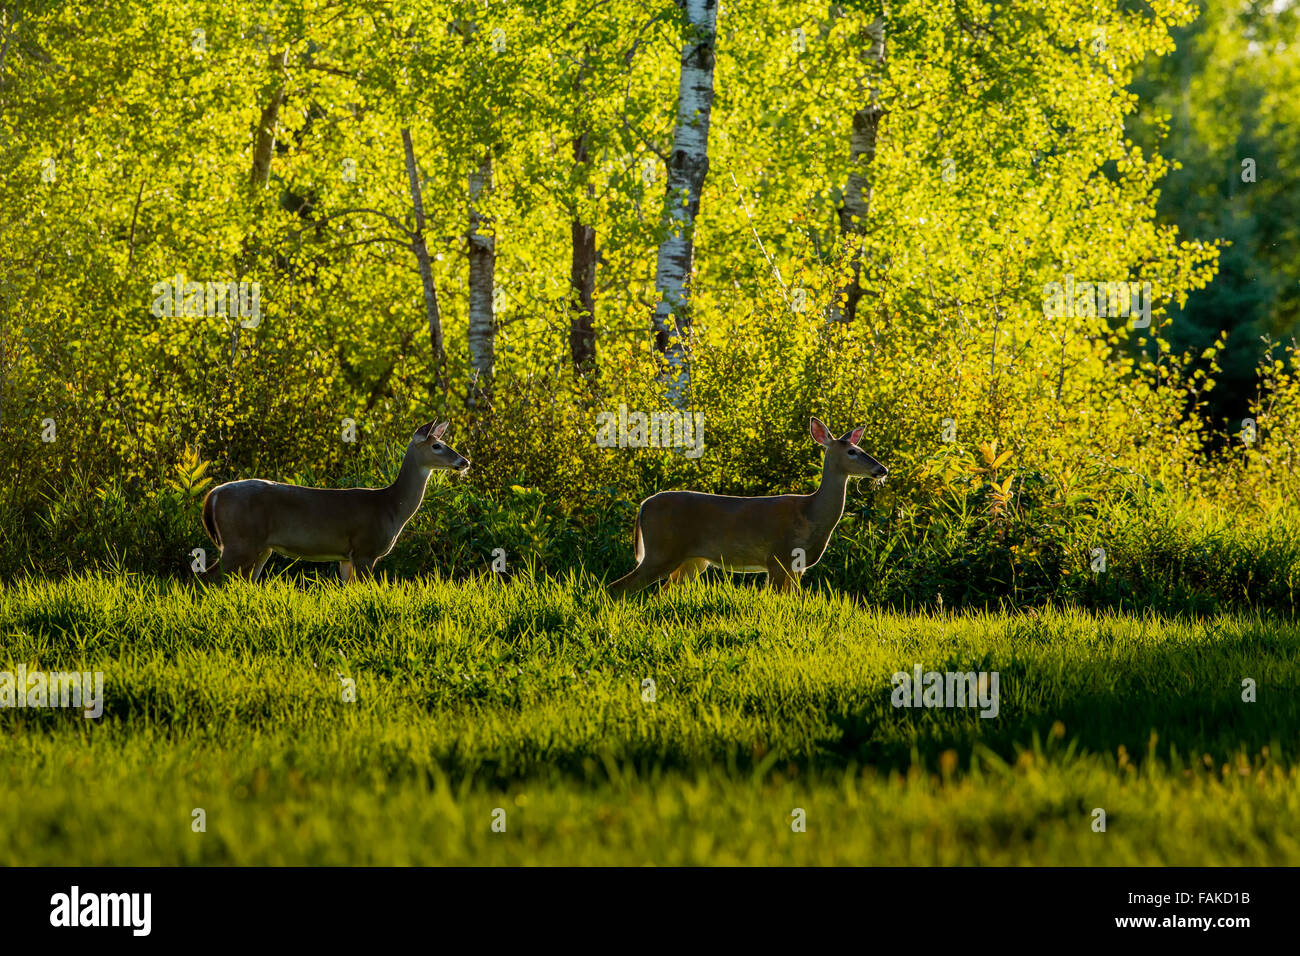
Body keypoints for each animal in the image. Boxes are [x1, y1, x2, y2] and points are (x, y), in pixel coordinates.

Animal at [198, 421, 469, 583]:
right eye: (437, 446)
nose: (464, 461)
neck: (391, 506)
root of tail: (214, 494)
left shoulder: (346, 556)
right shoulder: (365, 549)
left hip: (260, 547)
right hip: (239, 541)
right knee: (204, 577)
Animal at [607, 417, 887, 596]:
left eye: (861, 448)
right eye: (852, 451)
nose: (882, 469)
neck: (810, 514)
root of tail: (643, 505)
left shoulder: (798, 566)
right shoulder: (778, 557)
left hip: (692, 560)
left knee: (663, 592)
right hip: (661, 551)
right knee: (617, 587)